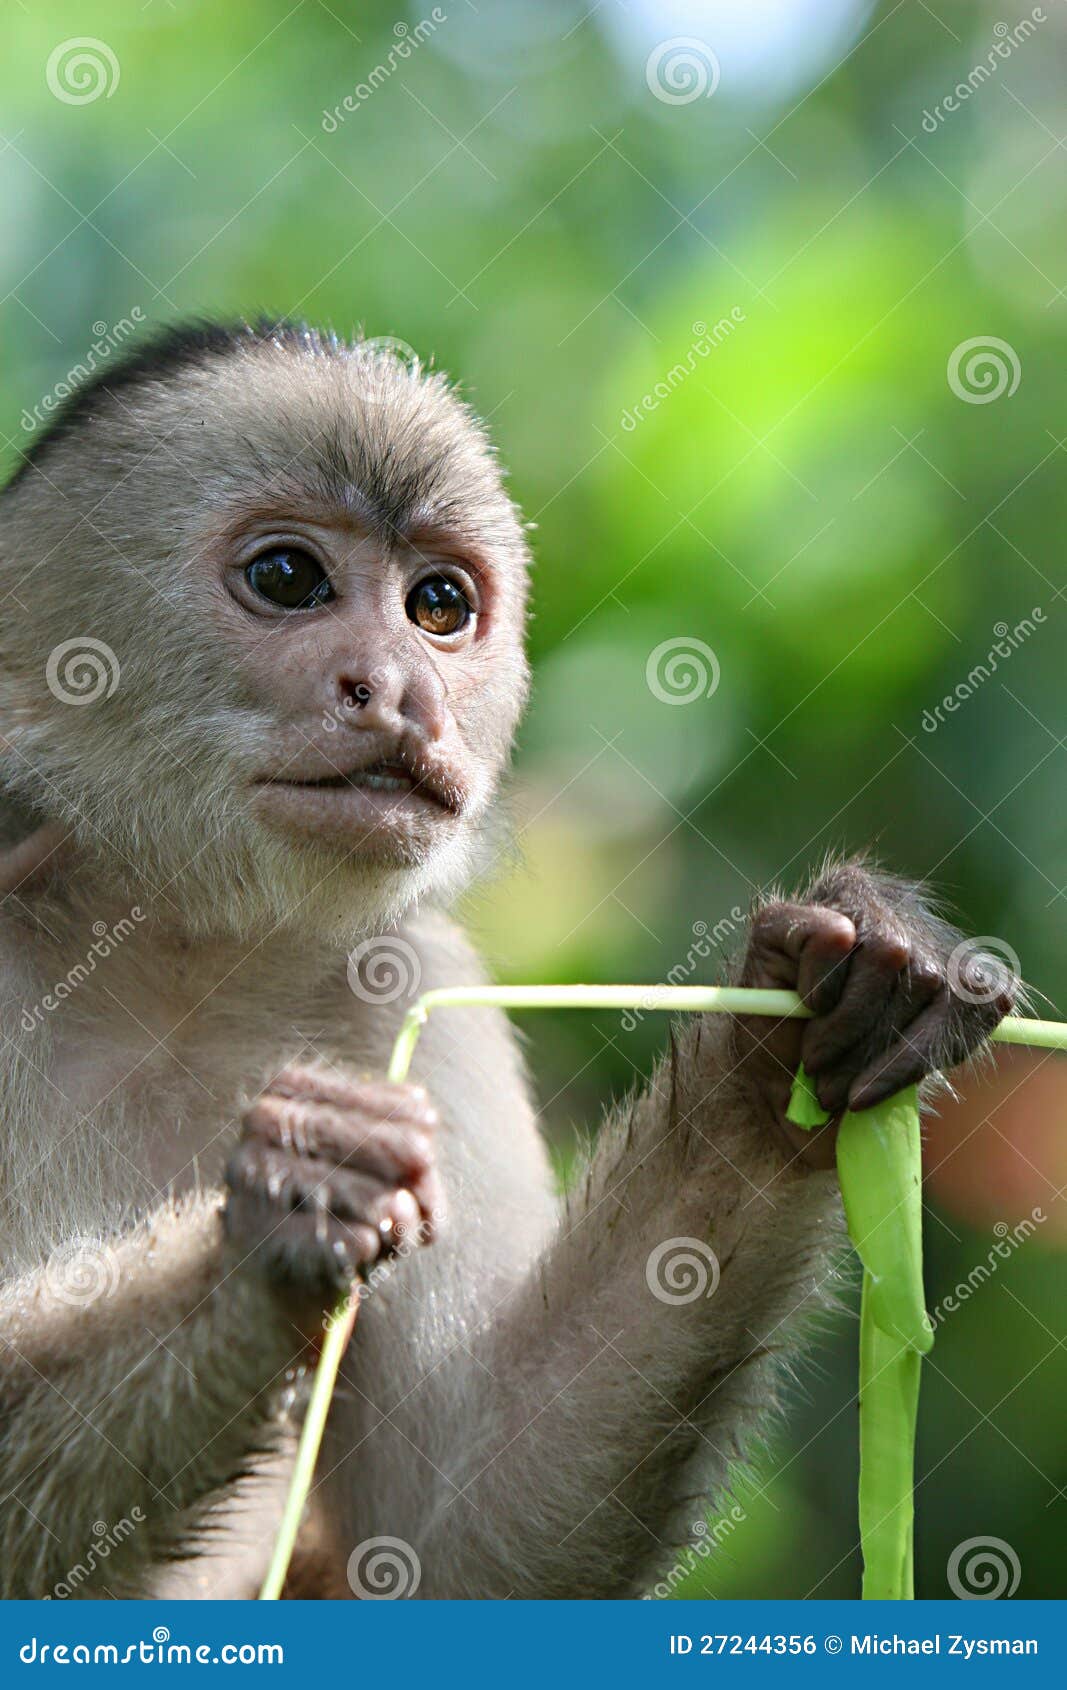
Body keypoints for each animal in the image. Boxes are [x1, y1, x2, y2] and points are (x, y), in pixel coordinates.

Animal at [0, 320, 1012, 1600]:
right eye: (286, 579)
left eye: (438, 604)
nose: (400, 689)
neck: (171, 949)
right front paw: (282, 1209)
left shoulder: (414, 966)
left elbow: (460, 1543)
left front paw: (794, 1040)